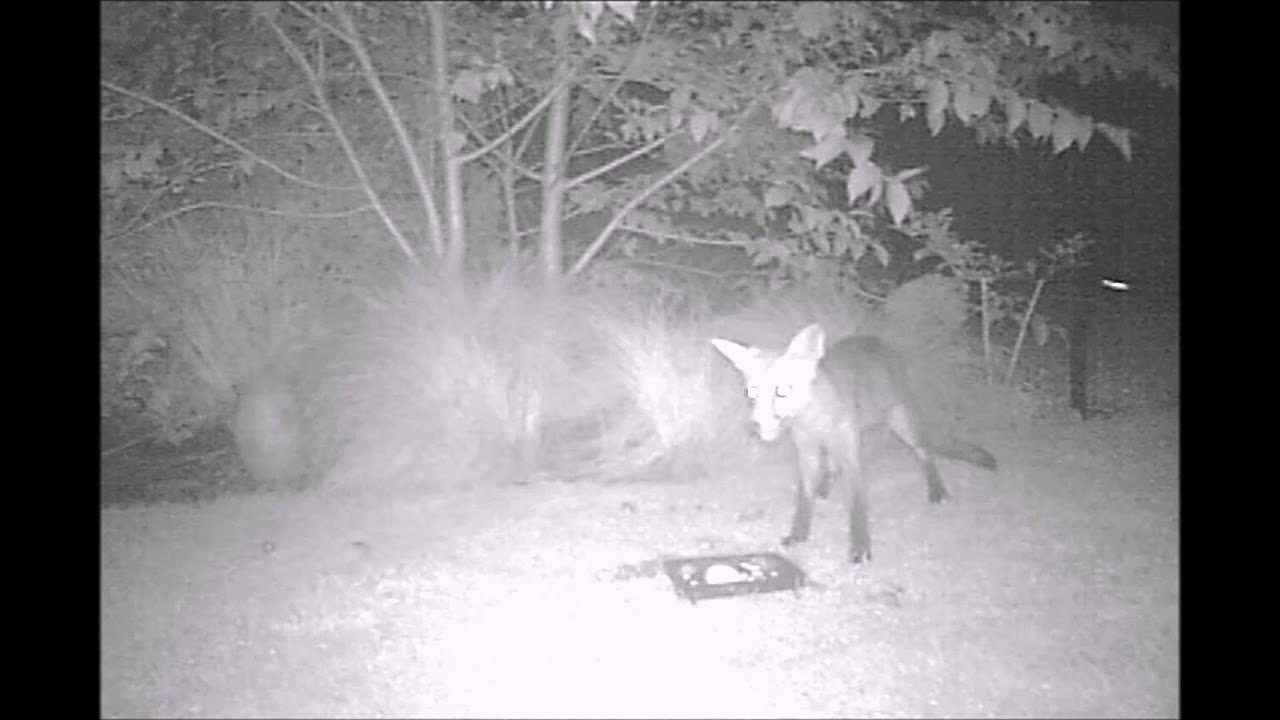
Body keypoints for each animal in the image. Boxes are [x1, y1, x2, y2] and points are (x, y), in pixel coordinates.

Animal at [711, 323, 996, 564]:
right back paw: (824, 487)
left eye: (782, 391)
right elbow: (804, 499)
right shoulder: (807, 452)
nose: (756, 424)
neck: (814, 421)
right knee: (832, 468)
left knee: (925, 453)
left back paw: (937, 490)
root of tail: (875, 339)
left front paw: (860, 548)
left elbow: (857, 505)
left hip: (901, 423)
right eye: (752, 393)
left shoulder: (850, 452)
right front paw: (799, 533)